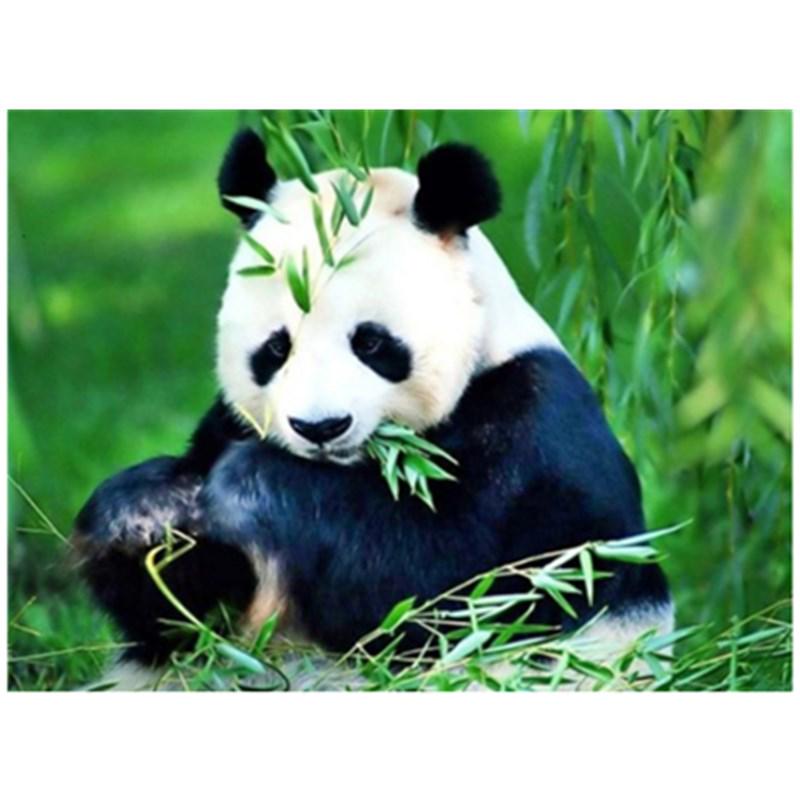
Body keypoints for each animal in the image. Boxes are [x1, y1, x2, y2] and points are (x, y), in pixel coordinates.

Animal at [73, 128, 672, 689]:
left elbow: (442, 584)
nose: (320, 427)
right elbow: (179, 616)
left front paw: (250, 486)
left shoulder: (535, 429)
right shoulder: (227, 422)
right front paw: (147, 511)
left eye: (371, 343)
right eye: (276, 349)